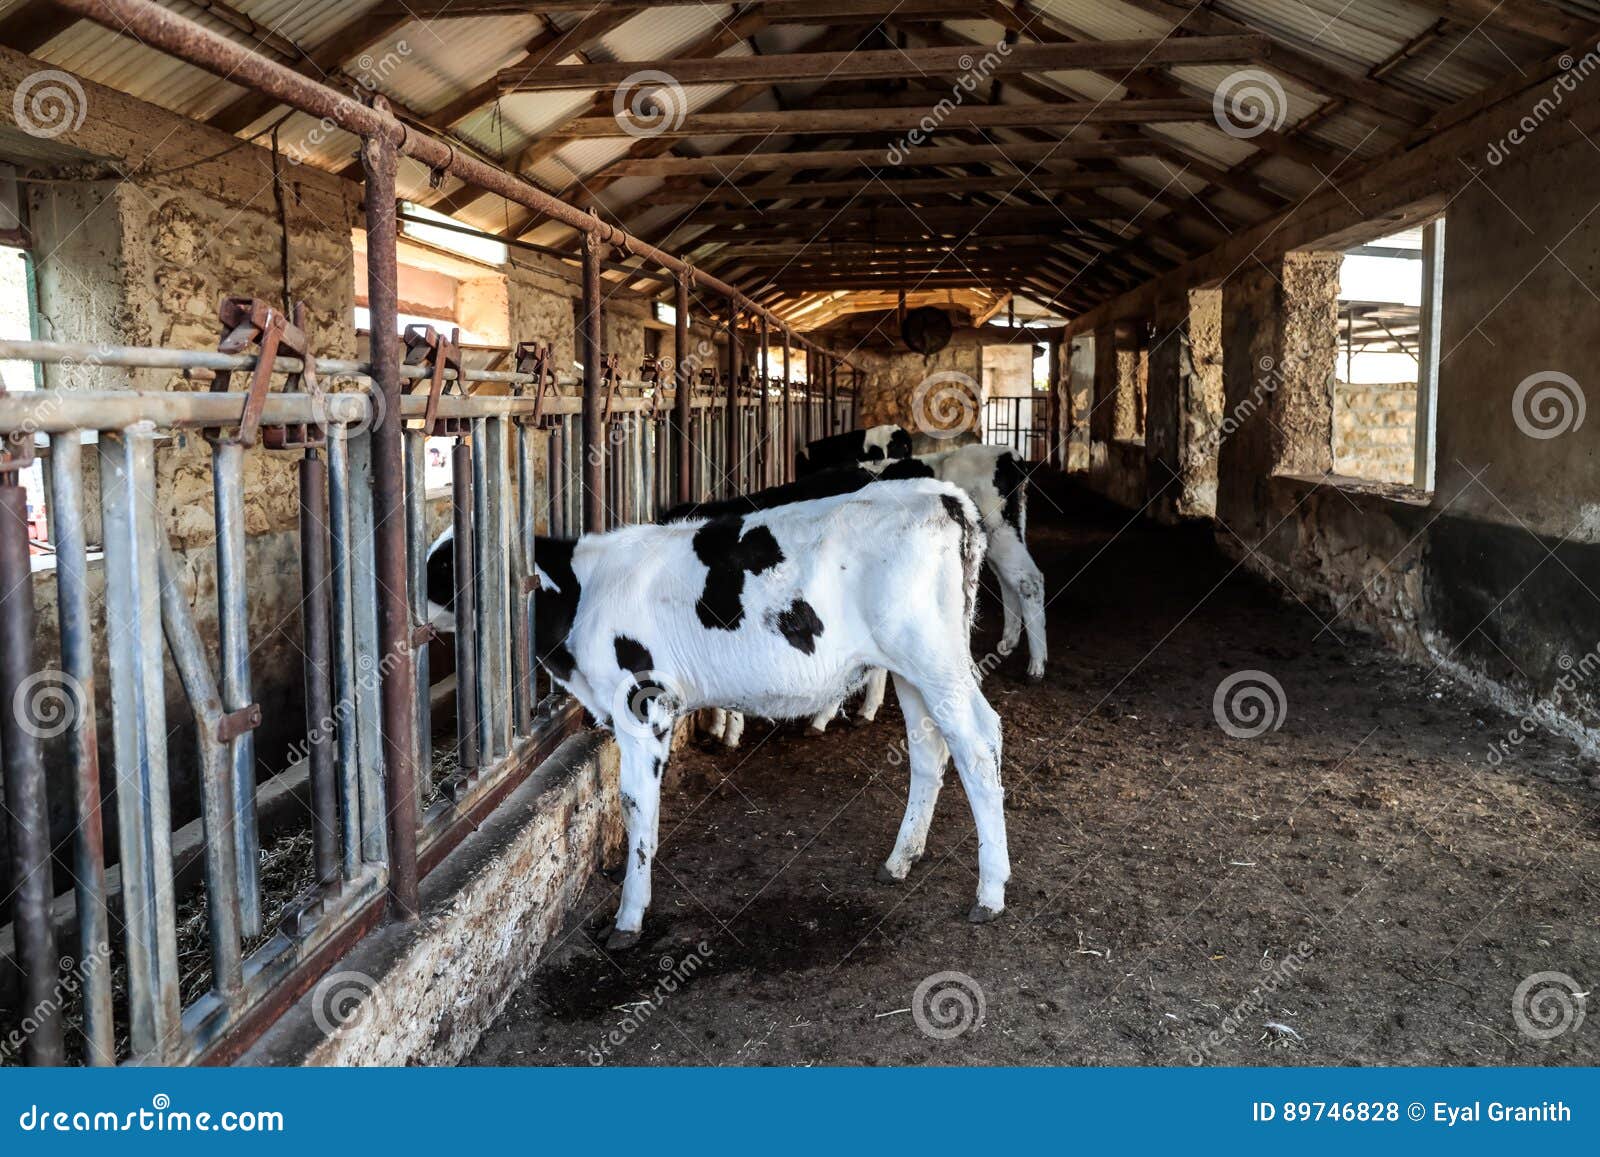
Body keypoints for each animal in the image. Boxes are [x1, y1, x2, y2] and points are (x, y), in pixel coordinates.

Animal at [534, 480, 1008, 946]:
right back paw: (900, 860)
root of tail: (943, 495)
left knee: (978, 742)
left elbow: (634, 803)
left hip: (933, 657)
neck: (587, 590)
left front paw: (629, 916)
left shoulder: (642, 704)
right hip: (911, 668)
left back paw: (990, 891)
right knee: (928, 748)